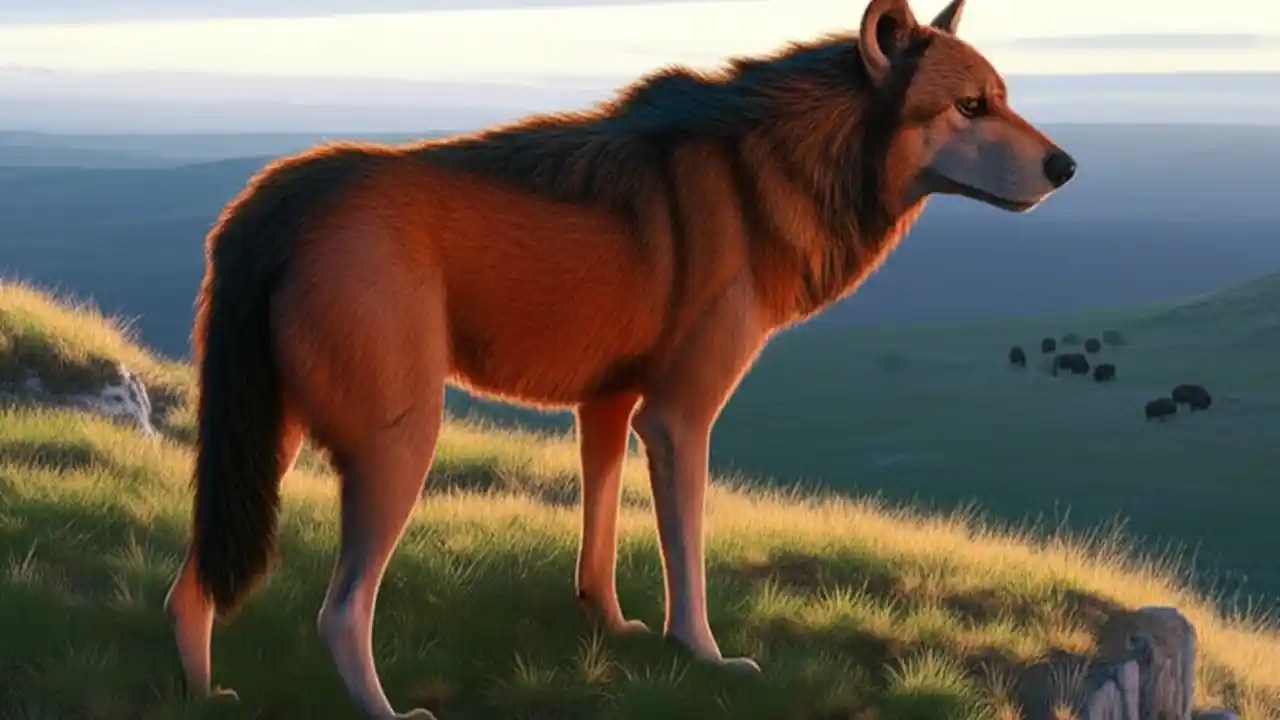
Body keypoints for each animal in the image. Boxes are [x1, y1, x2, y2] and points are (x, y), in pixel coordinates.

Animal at [164, 0, 1076, 716]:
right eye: (969, 105)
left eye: (1002, 98)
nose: (1066, 166)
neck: (762, 174)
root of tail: (273, 197)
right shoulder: (676, 420)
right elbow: (688, 559)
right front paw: (705, 656)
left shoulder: (606, 408)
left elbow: (597, 540)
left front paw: (608, 625)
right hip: (399, 446)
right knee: (340, 611)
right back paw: (386, 710)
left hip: (267, 444)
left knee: (190, 585)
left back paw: (204, 694)